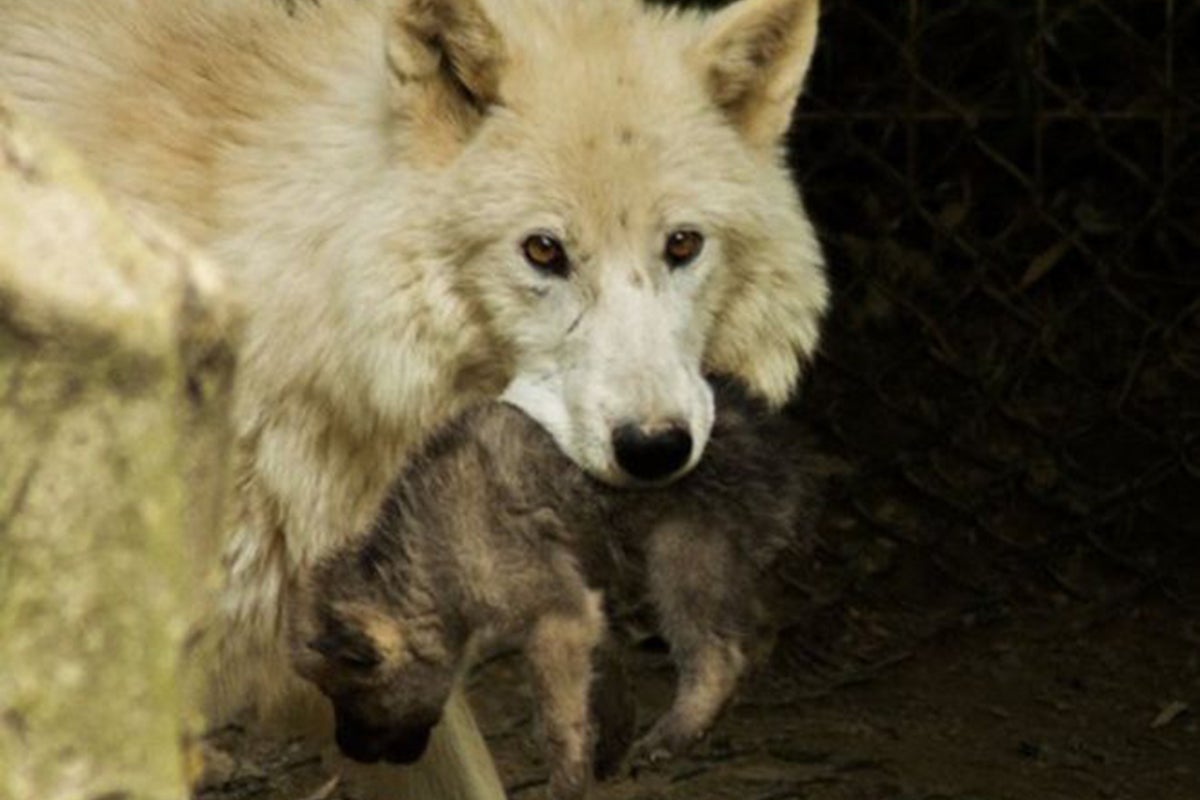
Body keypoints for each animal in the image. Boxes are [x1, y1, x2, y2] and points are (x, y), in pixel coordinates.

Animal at [292, 378, 820, 799]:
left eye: (348, 691)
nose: (350, 753)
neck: (433, 555)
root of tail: (773, 441)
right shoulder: (587, 609)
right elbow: (606, 685)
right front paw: (607, 755)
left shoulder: (559, 618)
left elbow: (558, 721)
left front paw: (568, 782)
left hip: (680, 555)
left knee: (716, 656)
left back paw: (672, 736)